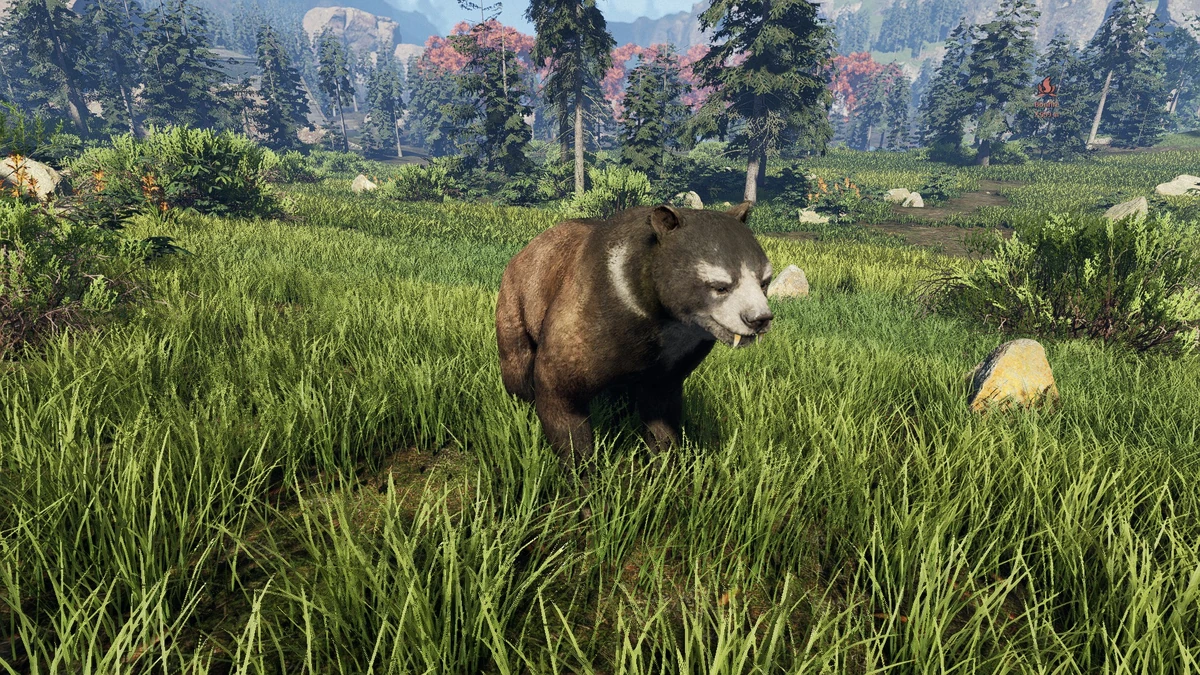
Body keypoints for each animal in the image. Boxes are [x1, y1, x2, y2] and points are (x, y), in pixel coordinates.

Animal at [495, 202, 774, 469]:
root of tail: (527, 248)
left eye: (764, 281)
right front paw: (580, 469)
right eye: (720, 286)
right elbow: (560, 394)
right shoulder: (586, 321)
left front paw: (665, 465)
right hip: (517, 304)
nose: (759, 319)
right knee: (517, 367)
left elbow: (661, 413)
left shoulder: (670, 360)